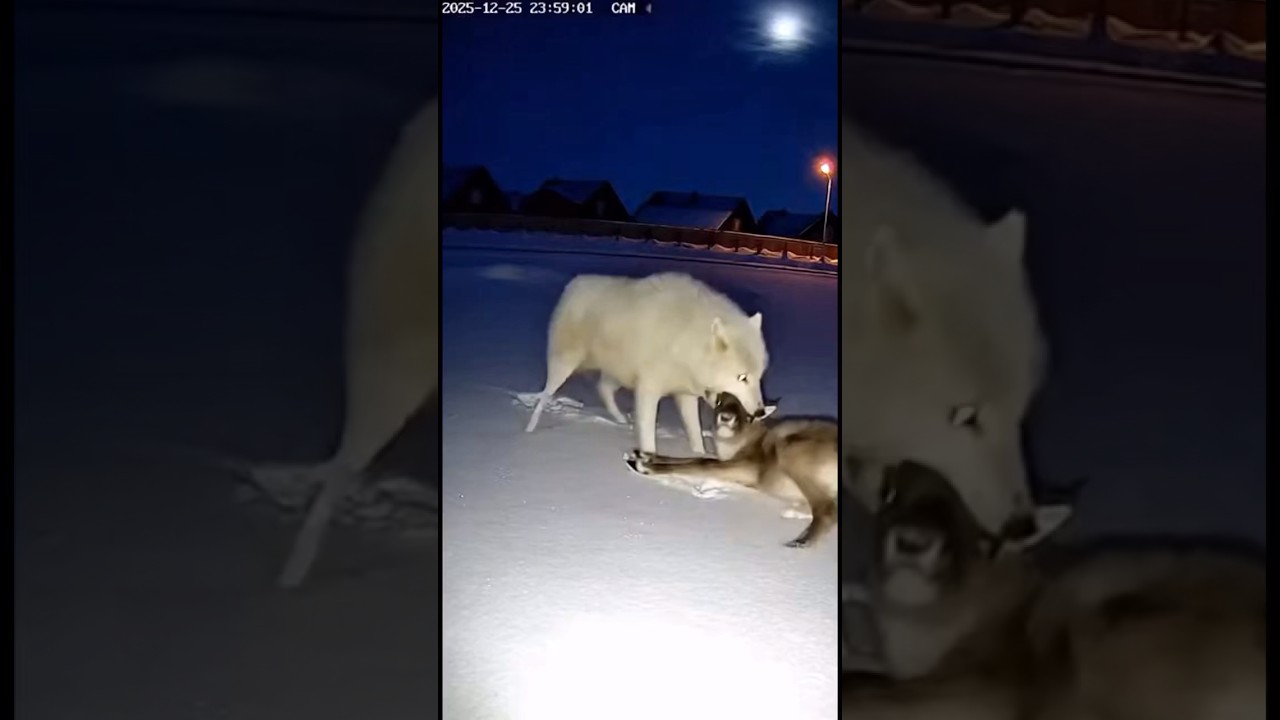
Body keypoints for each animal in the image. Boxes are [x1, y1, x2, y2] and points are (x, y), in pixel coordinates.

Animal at [526, 272, 770, 456]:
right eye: (742, 377)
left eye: (758, 377)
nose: (760, 412)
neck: (684, 340)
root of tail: (575, 282)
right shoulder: (648, 390)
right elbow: (648, 432)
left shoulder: (685, 395)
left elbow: (695, 432)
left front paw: (700, 456)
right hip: (565, 366)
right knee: (546, 394)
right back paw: (529, 429)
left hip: (618, 374)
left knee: (603, 388)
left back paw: (620, 420)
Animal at [623, 392, 837, 548]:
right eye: (719, 400)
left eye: (747, 408)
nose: (726, 418)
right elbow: (698, 458)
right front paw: (642, 455)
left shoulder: (748, 468)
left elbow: (702, 463)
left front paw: (643, 466)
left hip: (791, 452)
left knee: (827, 508)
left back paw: (799, 541)